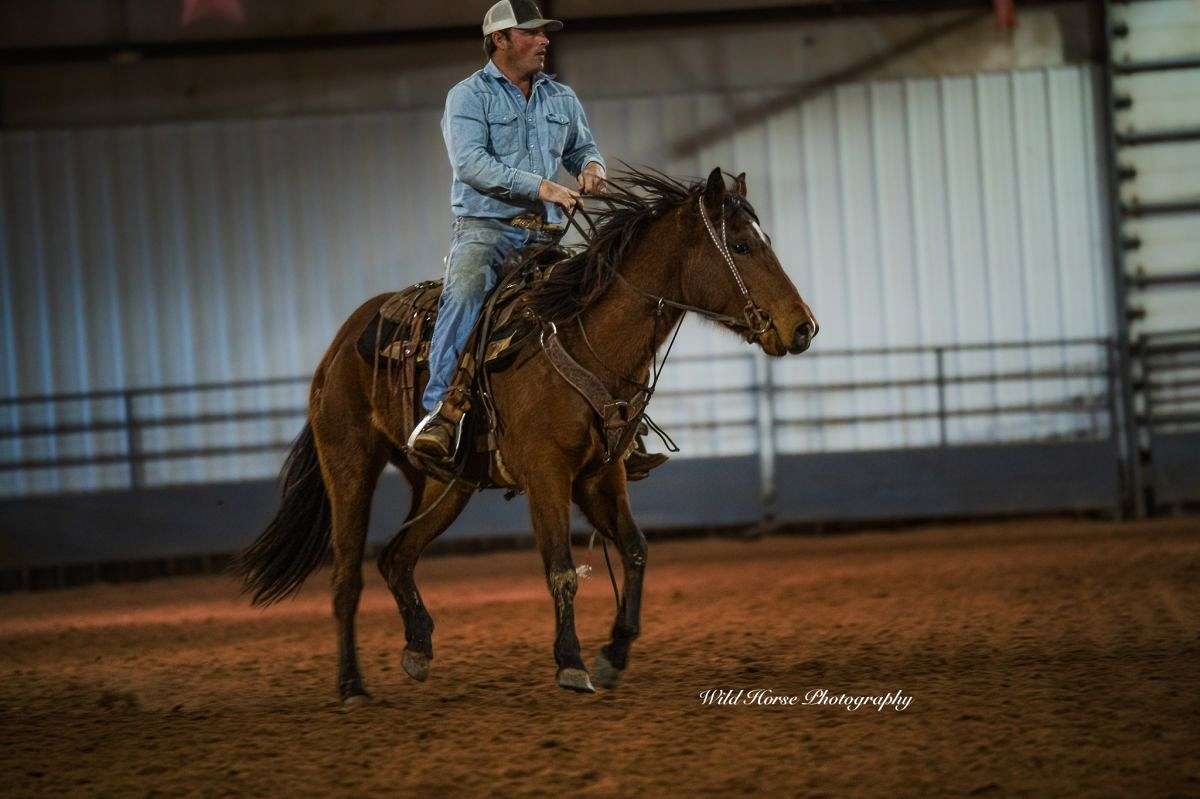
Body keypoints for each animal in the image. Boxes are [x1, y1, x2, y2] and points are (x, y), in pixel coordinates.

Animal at [236, 166, 818, 703]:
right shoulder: (546, 473)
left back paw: (418, 648)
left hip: (447, 483)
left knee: (396, 557)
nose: (803, 327)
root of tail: (338, 347)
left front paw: (614, 654)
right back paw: (352, 685)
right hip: (350, 466)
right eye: (740, 245)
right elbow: (561, 568)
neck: (586, 340)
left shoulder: (601, 475)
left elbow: (634, 550)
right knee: (347, 578)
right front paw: (572, 663)